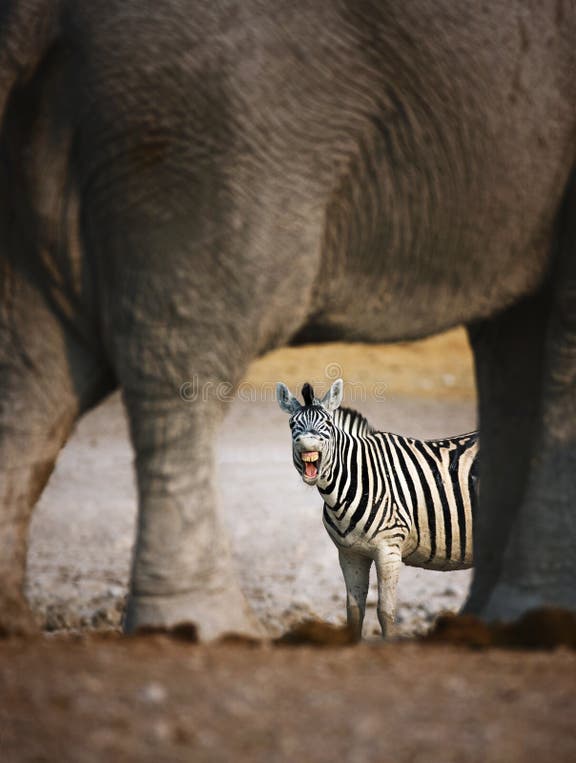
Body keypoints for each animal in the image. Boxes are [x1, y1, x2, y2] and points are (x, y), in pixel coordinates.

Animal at [276, 378, 479, 640]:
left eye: (328, 424)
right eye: (292, 424)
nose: (307, 443)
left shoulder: (389, 551)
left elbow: (385, 612)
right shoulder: (350, 554)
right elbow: (354, 612)